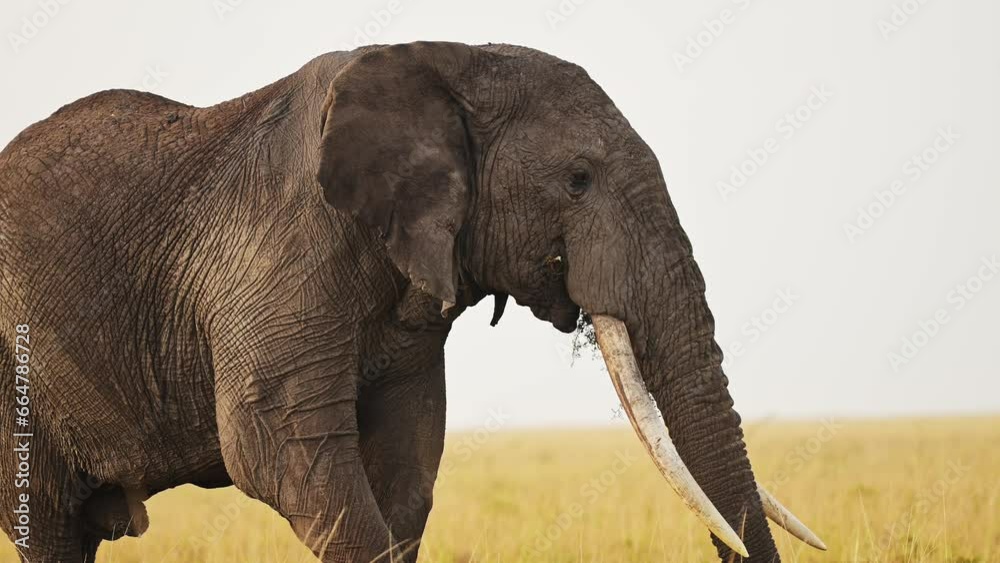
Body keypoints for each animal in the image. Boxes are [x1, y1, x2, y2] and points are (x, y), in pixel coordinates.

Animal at [0, 42, 825, 562]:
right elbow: (280, 454)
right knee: (47, 527)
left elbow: (405, 462)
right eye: (578, 180)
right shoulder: (281, 252)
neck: (443, 63)